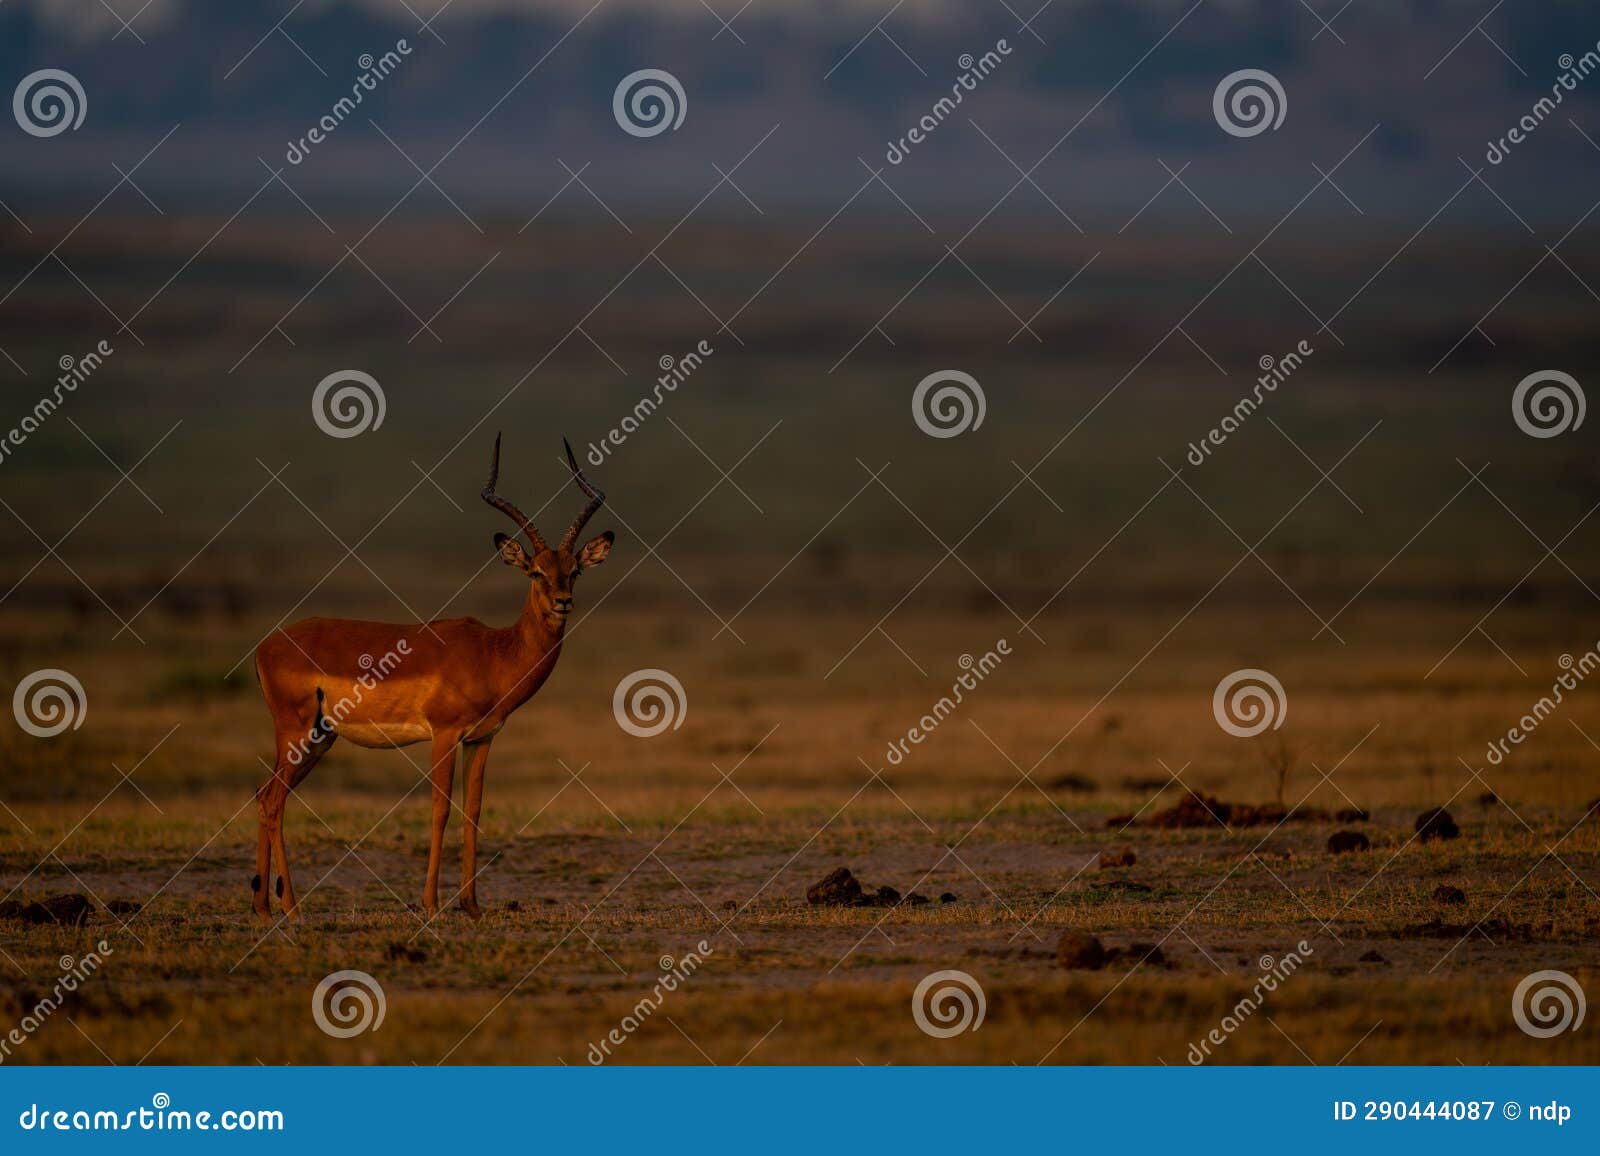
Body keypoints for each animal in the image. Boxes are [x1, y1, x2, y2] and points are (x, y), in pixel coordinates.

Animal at [250, 435, 614, 922]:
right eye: (536, 570)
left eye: (573, 569)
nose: (562, 602)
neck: (494, 652)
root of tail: (266, 645)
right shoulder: (443, 735)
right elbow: (440, 809)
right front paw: (431, 903)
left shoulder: (482, 738)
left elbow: (473, 810)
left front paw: (472, 905)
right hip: (296, 731)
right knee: (273, 800)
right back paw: (289, 907)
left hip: (320, 736)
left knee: (266, 796)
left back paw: (261, 905)